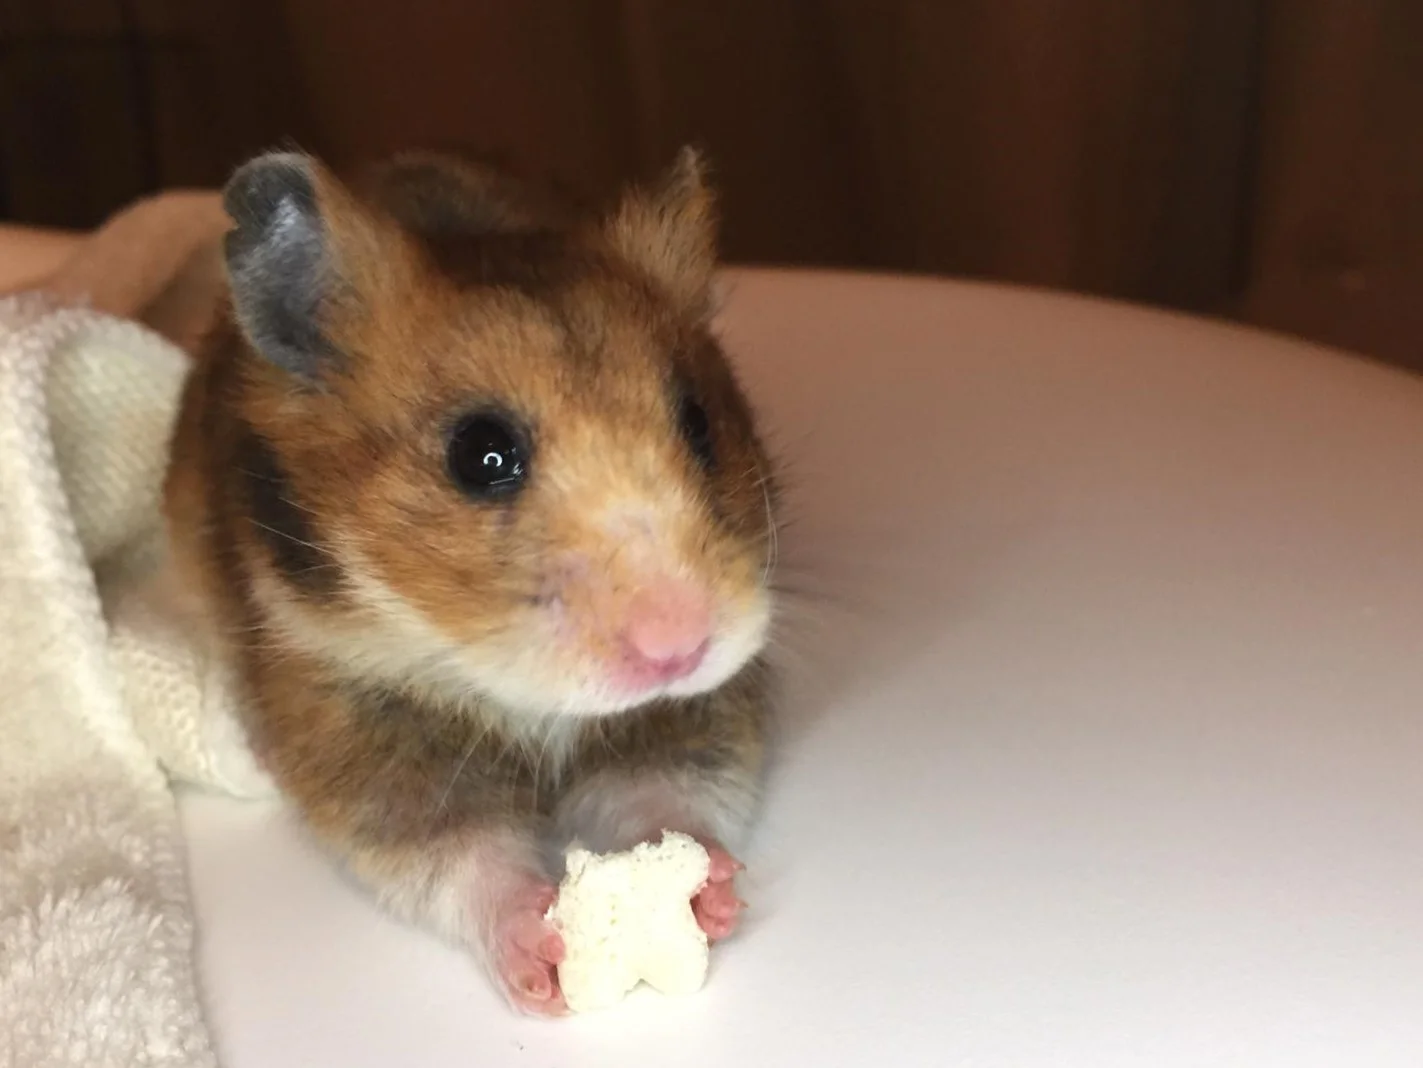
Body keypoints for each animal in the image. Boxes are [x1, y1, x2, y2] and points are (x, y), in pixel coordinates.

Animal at [161, 146, 779, 1015]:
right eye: (480, 455)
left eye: (698, 421)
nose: (679, 647)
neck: (519, 692)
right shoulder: (352, 724)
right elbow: (459, 851)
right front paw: (543, 958)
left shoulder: (687, 718)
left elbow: (666, 793)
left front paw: (708, 896)